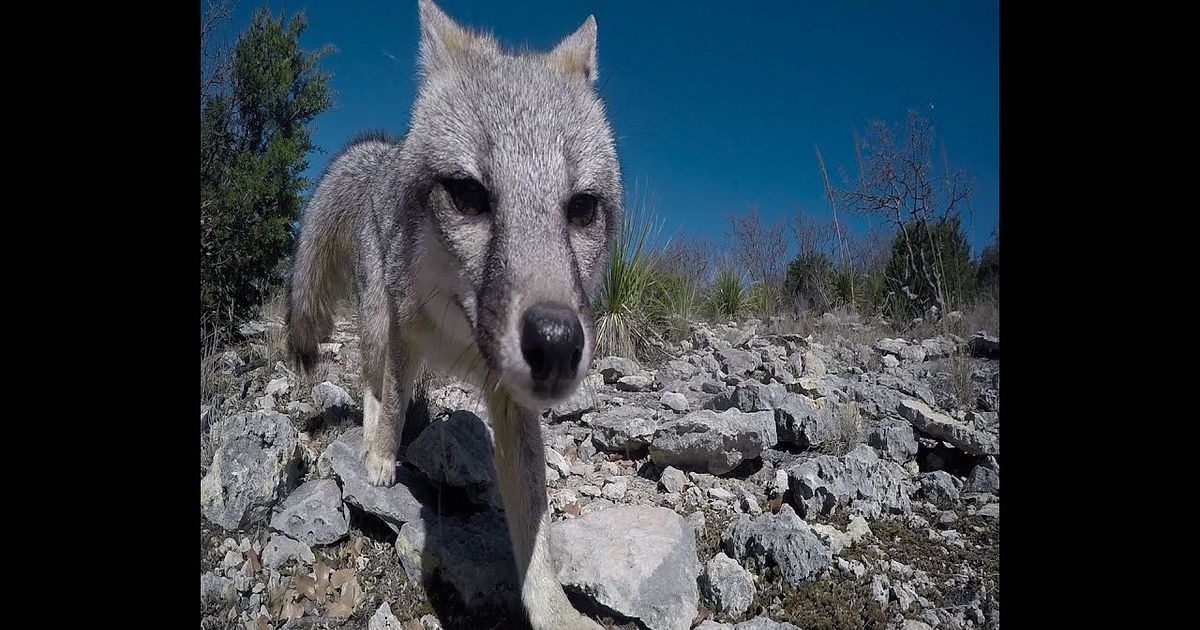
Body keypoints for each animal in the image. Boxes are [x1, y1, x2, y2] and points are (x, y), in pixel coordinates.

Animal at [285, 1, 620, 628]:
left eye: (583, 209)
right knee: (372, 384)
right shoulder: (402, 333)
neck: (456, 334)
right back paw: (372, 444)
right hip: (375, 322)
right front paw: (381, 455)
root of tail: (385, 157)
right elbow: (392, 402)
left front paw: (554, 609)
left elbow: (535, 531)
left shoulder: (512, 400)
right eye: (468, 196)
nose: (556, 342)